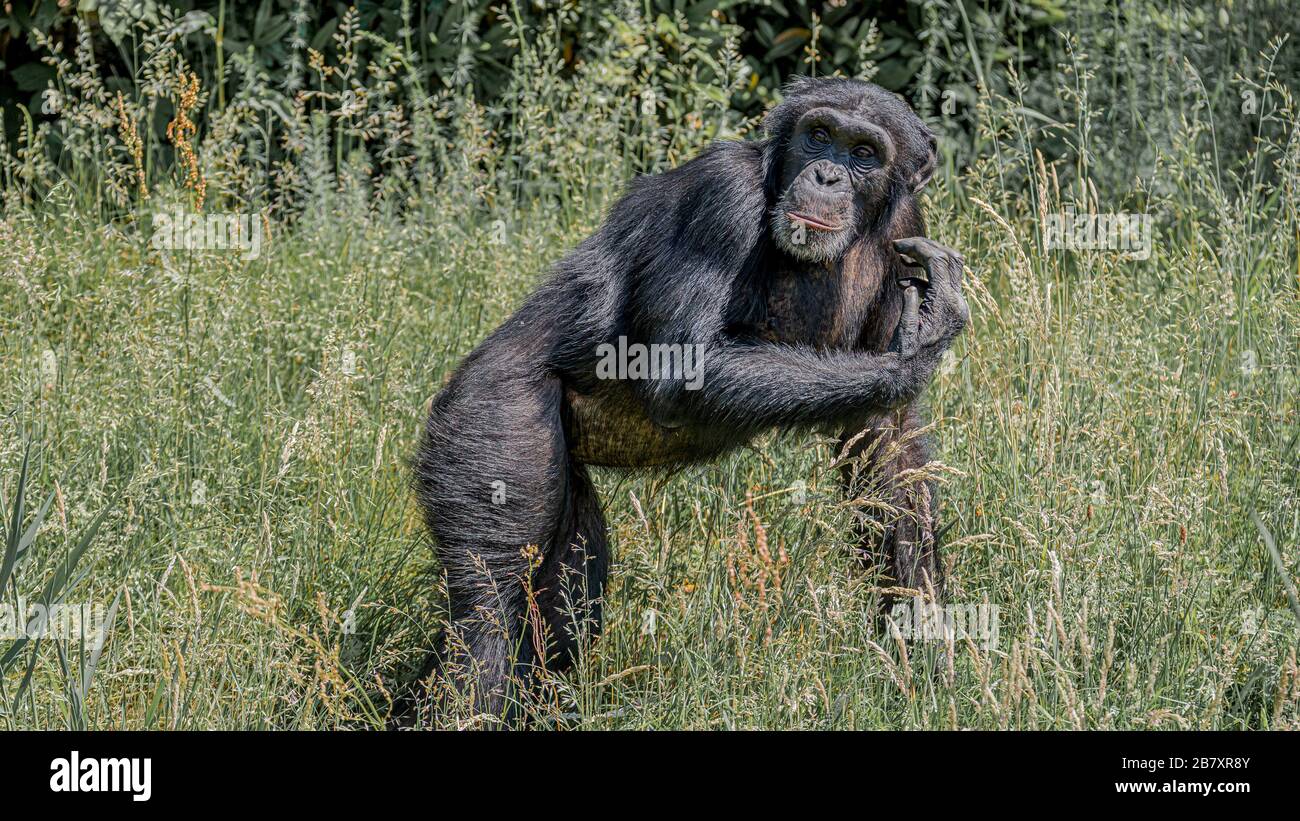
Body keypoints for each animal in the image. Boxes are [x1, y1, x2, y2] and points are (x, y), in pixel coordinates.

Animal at [413, 77, 969, 719]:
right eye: (819, 134)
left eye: (864, 153)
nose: (829, 174)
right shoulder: (721, 194)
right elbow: (682, 370)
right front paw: (921, 343)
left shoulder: (906, 221)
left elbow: (890, 451)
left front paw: (925, 666)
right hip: (492, 416)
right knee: (489, 604)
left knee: (565, 598)